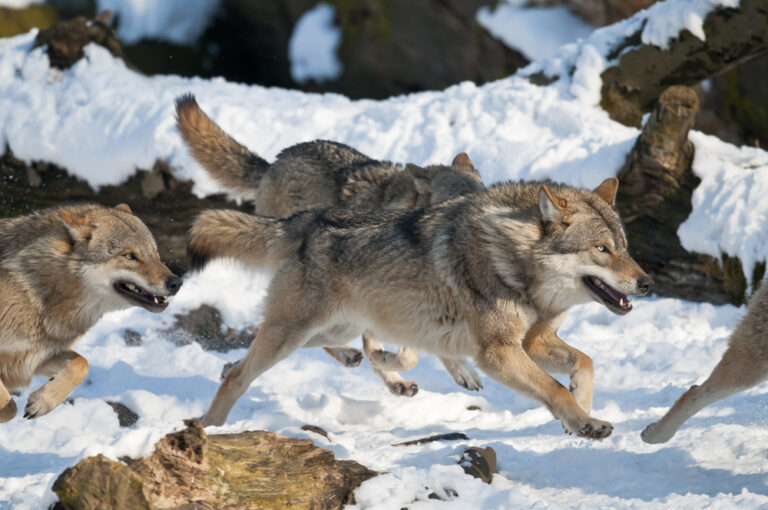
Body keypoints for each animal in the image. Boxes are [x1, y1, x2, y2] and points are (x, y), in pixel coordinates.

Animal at [0, 204, 182, 423]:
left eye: (155, 253)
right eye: (130, 255)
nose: (176, 282)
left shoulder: (37, 357)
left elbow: (82, 365)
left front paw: (42, 402)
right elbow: (9, 408)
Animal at [188, 178, 652, 437]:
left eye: (625, 248)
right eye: (602, 249)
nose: (647, 283)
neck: (516, 264)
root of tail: (311, 219)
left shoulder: (534, 342)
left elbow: (585, 363)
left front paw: (582, 413)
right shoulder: (498, 352)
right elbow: (552, 387)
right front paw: (586, 422)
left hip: (331, 327)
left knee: (331, 350)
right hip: (293, 333)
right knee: (239, 373)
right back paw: (208, 428)